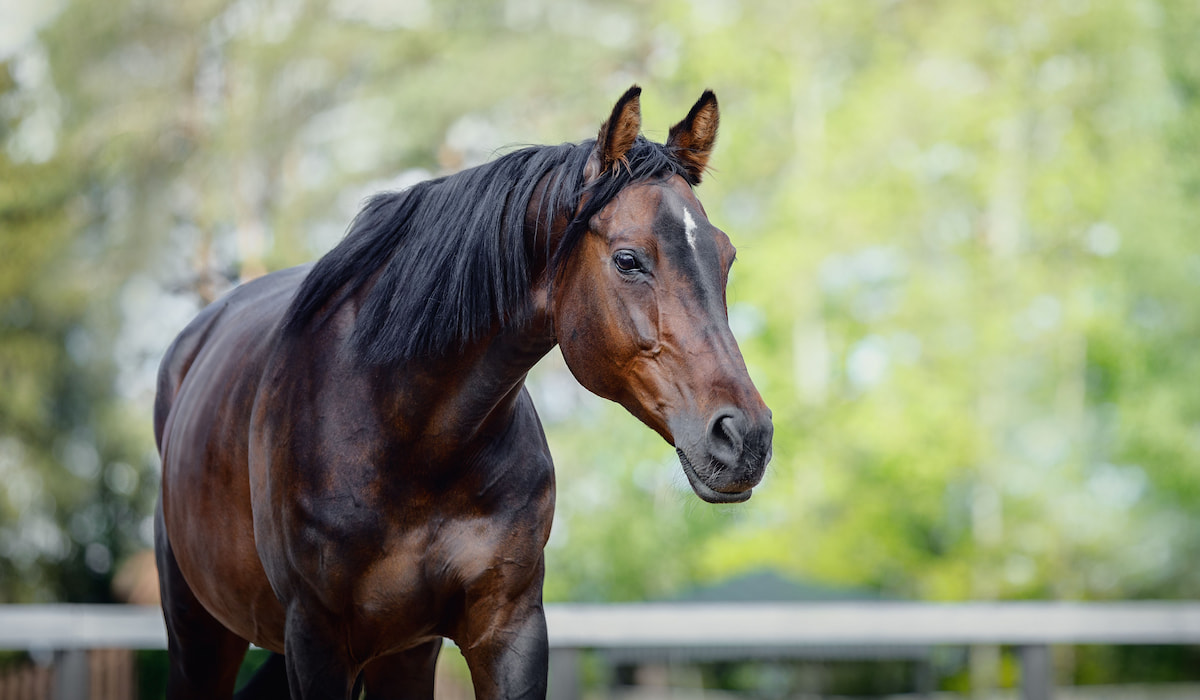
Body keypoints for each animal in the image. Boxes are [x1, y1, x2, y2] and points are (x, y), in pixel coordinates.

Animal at [153, 86, 773, 700]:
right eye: (628, 259)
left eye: (726, 258)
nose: (747, 437)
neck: (410, 435)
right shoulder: (315, 640)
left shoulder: (508, 630)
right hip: (198, 634)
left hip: (401, 653)